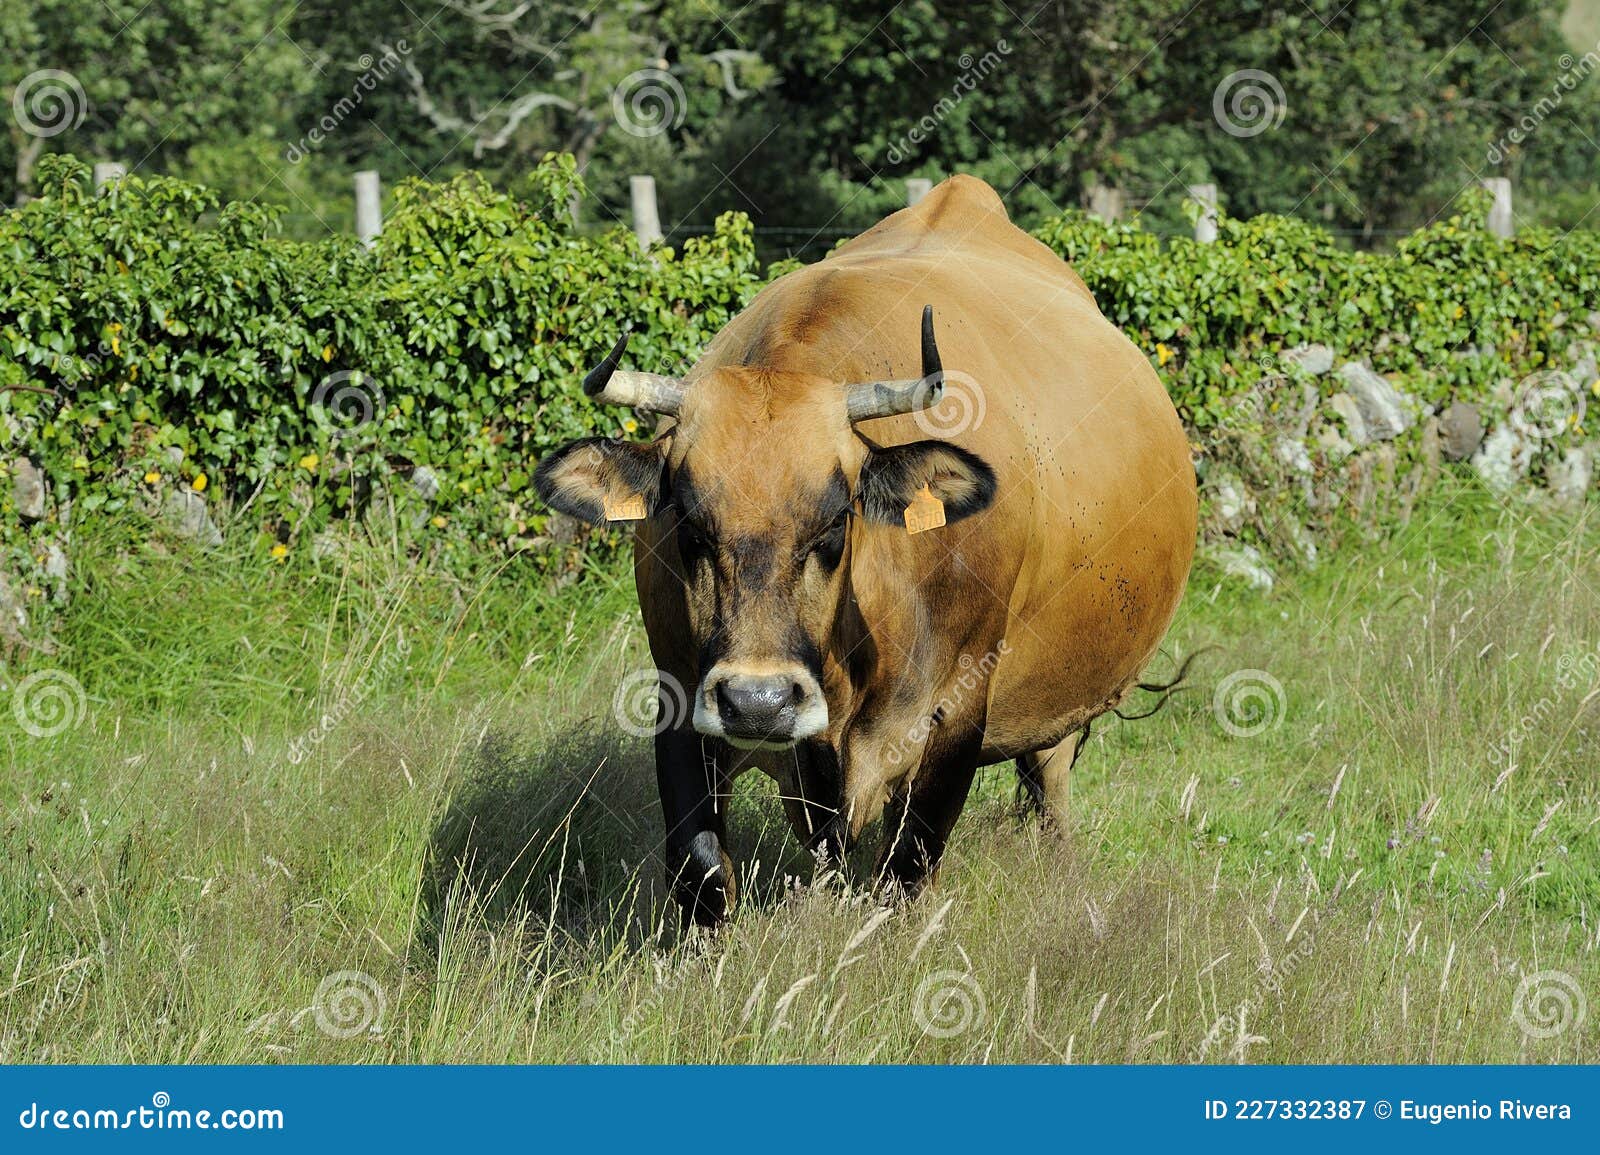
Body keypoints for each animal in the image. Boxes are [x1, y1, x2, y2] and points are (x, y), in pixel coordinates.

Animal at [535, 175, 1196, 925]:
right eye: (691, 528)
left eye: (833, 526)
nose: (758, 703)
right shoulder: (680, 698)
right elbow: (700, 868)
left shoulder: (956, 713)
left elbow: (908, 866)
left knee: (1047, 786)